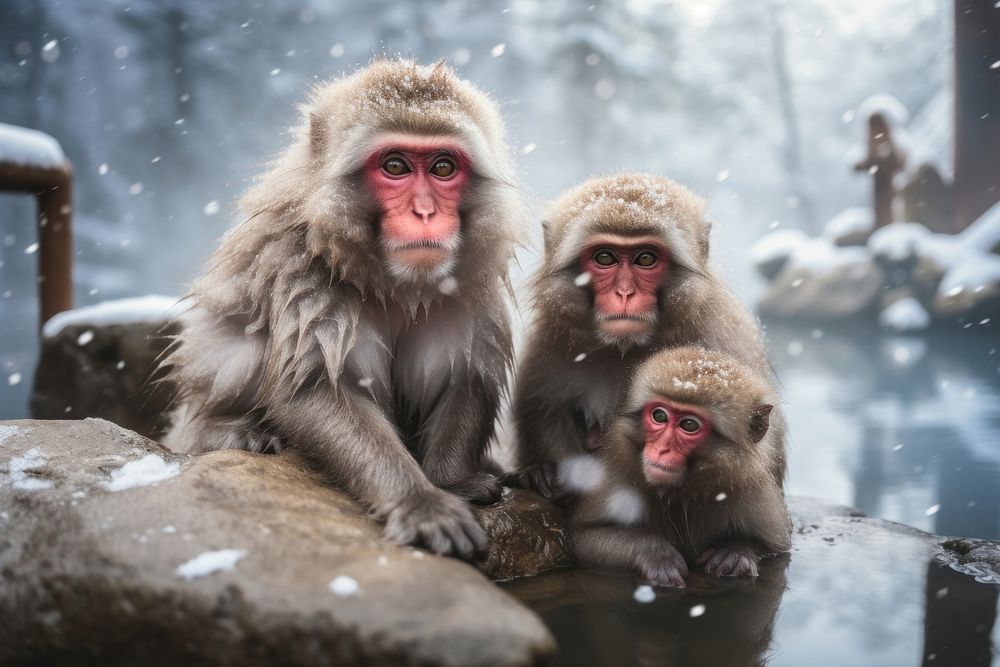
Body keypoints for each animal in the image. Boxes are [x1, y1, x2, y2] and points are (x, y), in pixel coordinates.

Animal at [159, 60, 524, 560]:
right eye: (395, 166)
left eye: (444, 167)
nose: (425, 212)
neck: (394, 280)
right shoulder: (301, 268)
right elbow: (315, 387)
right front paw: (421, 501)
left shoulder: (470, 281)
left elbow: (465, 375)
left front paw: (453, 480)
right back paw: (228, 432)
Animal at [509, 173, 773, 501]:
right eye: (605, 257)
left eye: (645, 258)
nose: (625, 293)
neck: (625, 349)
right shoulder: (549, 343)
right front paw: (540, 473)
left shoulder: (720, 339)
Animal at [570, 346, 790, 587]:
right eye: (659, 415)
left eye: (689, 425)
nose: (662, 449)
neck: (683, 492)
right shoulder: (616, 475)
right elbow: (584, 540)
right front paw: (655, 553)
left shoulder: (753, 488)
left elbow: (777, 550)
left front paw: (736, 552)